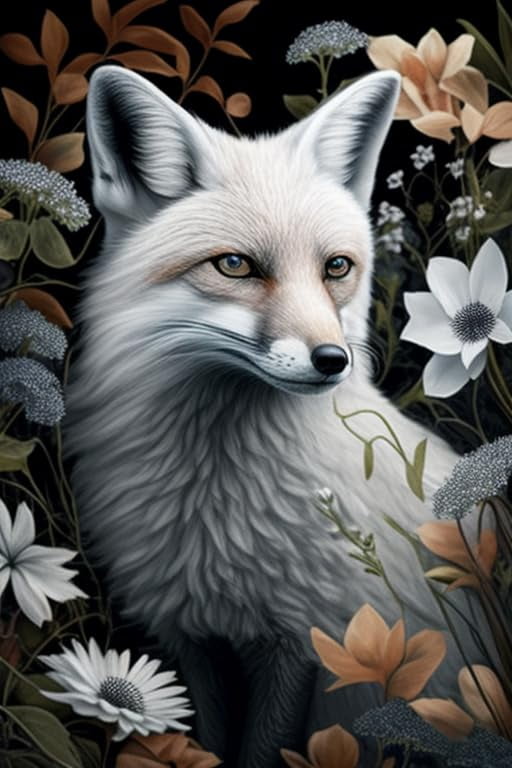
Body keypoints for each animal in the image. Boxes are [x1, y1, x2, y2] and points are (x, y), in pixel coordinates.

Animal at [65, 65, 473, 767]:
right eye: (235, 265)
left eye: (336, 267)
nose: (333, 360)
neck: (213, 509)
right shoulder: (190, 637)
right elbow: (206, 739)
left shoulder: (307, 639)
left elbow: (263, 749)